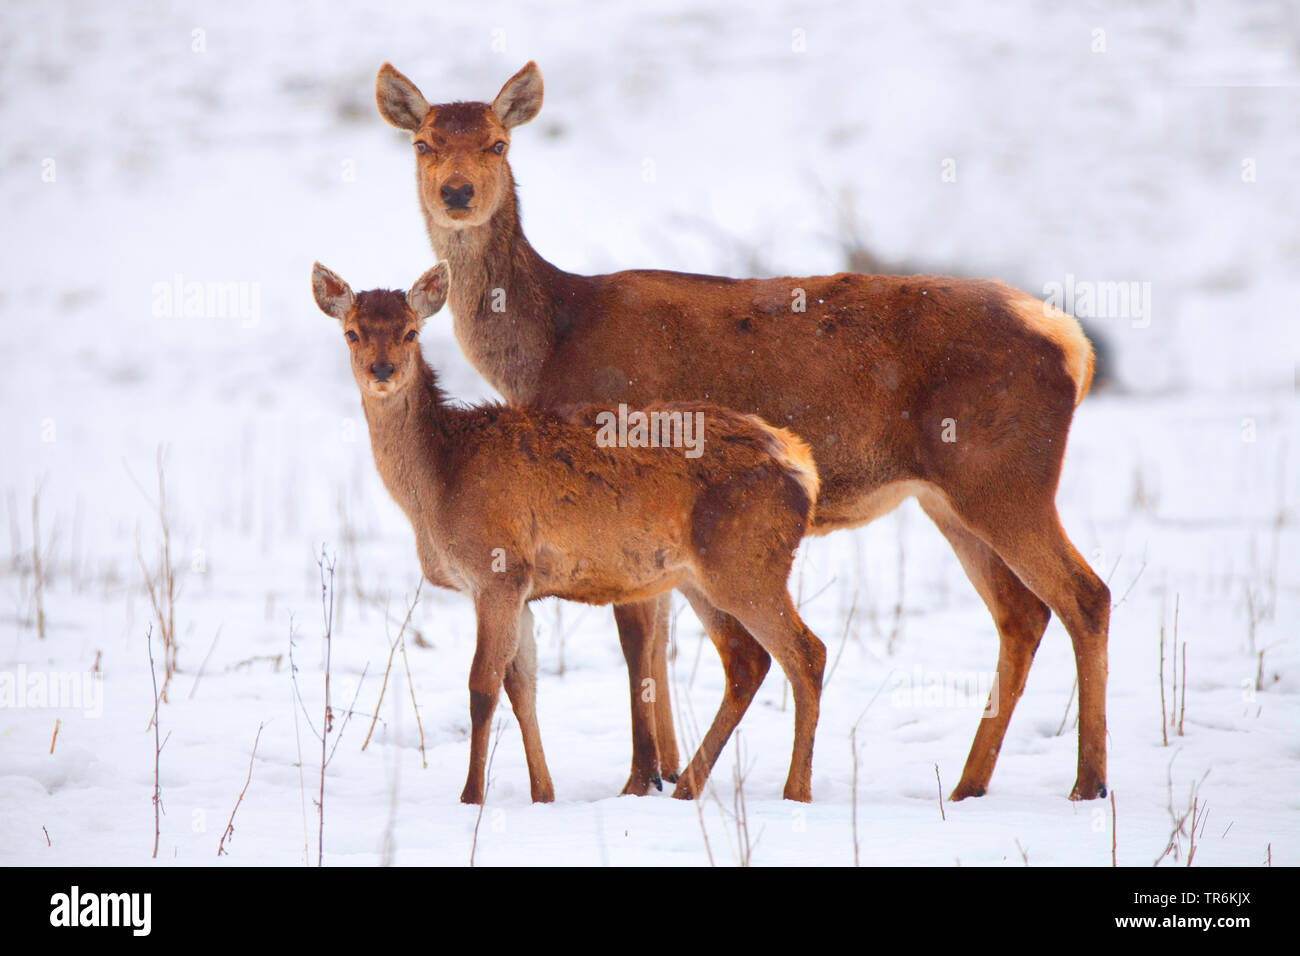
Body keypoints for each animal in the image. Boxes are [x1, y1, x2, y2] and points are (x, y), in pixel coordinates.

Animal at [311, 259, 827, 803]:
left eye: (410, 332)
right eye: (352, 333)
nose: (382, 371)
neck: (440, 483)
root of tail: (799, 461)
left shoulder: (498, 569)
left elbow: (481, 686)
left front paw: (471, 796)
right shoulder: (522, 589)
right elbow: (522, 686)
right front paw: (543, 793)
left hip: (747, 564)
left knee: (806, 653)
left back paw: (794, 790)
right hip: (700, 575)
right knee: (747, 661)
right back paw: (688, 786)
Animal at [374, 61, 1112, 803]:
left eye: (498, 143)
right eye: (424, 142)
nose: (457, 192)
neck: (547, 347)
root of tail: (1075, 348)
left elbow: (636, 643)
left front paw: (641, 777)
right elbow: (657, 642)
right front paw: (667, 772)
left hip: (1004, 477)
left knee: (1085, 596)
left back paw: (1088, 781)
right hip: (948, 497)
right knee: (1021, 613)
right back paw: (969, 784)